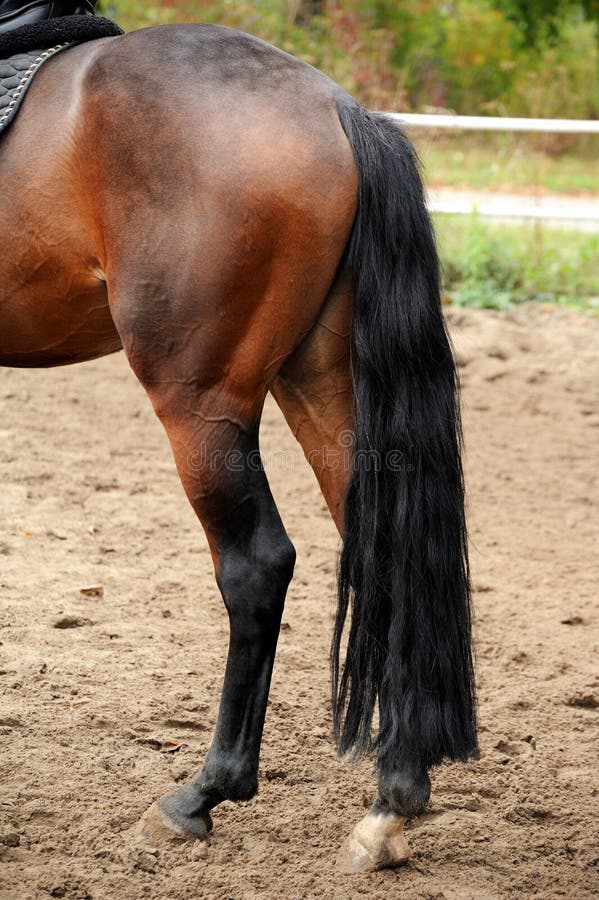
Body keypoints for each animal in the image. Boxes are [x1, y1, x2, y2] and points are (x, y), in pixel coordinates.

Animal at [0, 22, 477, 872]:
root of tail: (334, 106)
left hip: (201, 403)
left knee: (255, 566)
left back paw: (201, 795)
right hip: (319, 382)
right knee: (381, 549)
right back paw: (390, 803)